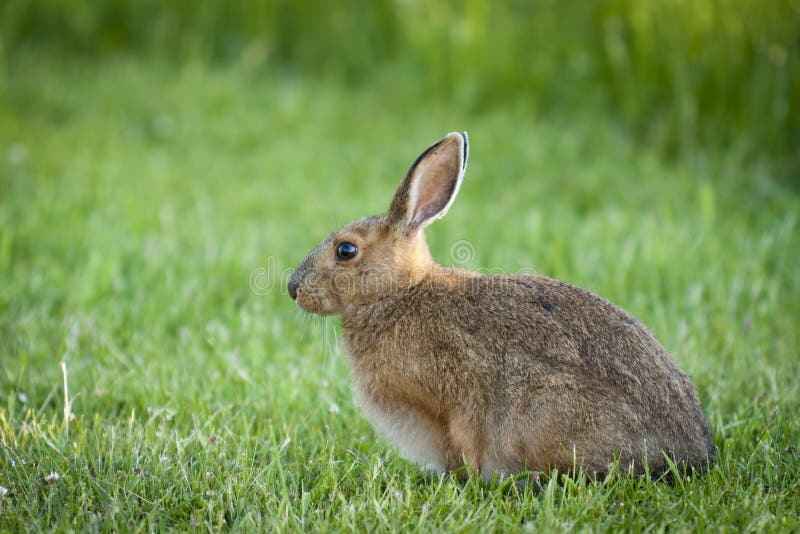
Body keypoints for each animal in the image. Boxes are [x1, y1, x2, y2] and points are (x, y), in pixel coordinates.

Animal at [288, 132, 716, 481]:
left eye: (346, 250)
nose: (292, 288)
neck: (398, 292)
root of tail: (693, 456)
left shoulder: (451, 405)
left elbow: (462, 442)